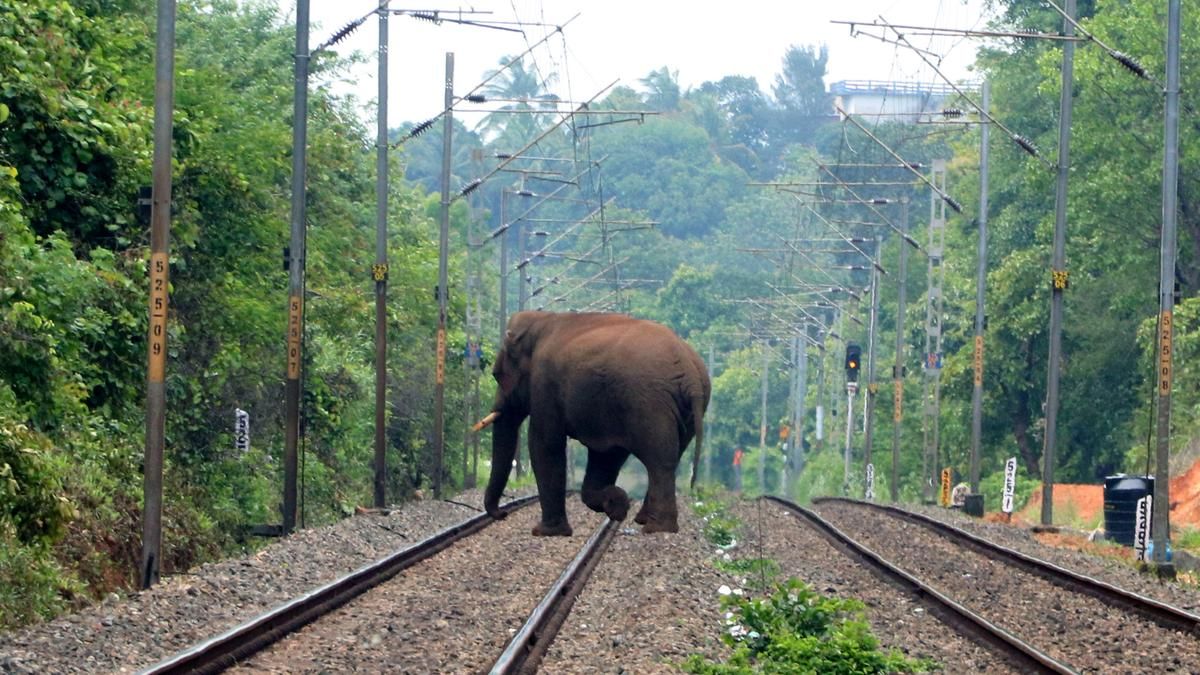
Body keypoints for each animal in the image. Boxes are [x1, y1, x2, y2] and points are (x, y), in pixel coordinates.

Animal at [480, 311, 710, 536]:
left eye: (497, 376)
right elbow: (606, 455)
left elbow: (545, 444)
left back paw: (656, 528)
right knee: (670, 458)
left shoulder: (544, 382)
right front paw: (616, 504)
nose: (502, 513)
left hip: (650, 405)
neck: (543, 319)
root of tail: (690, 372)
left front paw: (545, 532)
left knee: (660, 461)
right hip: (681, 412)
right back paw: (644, 520)